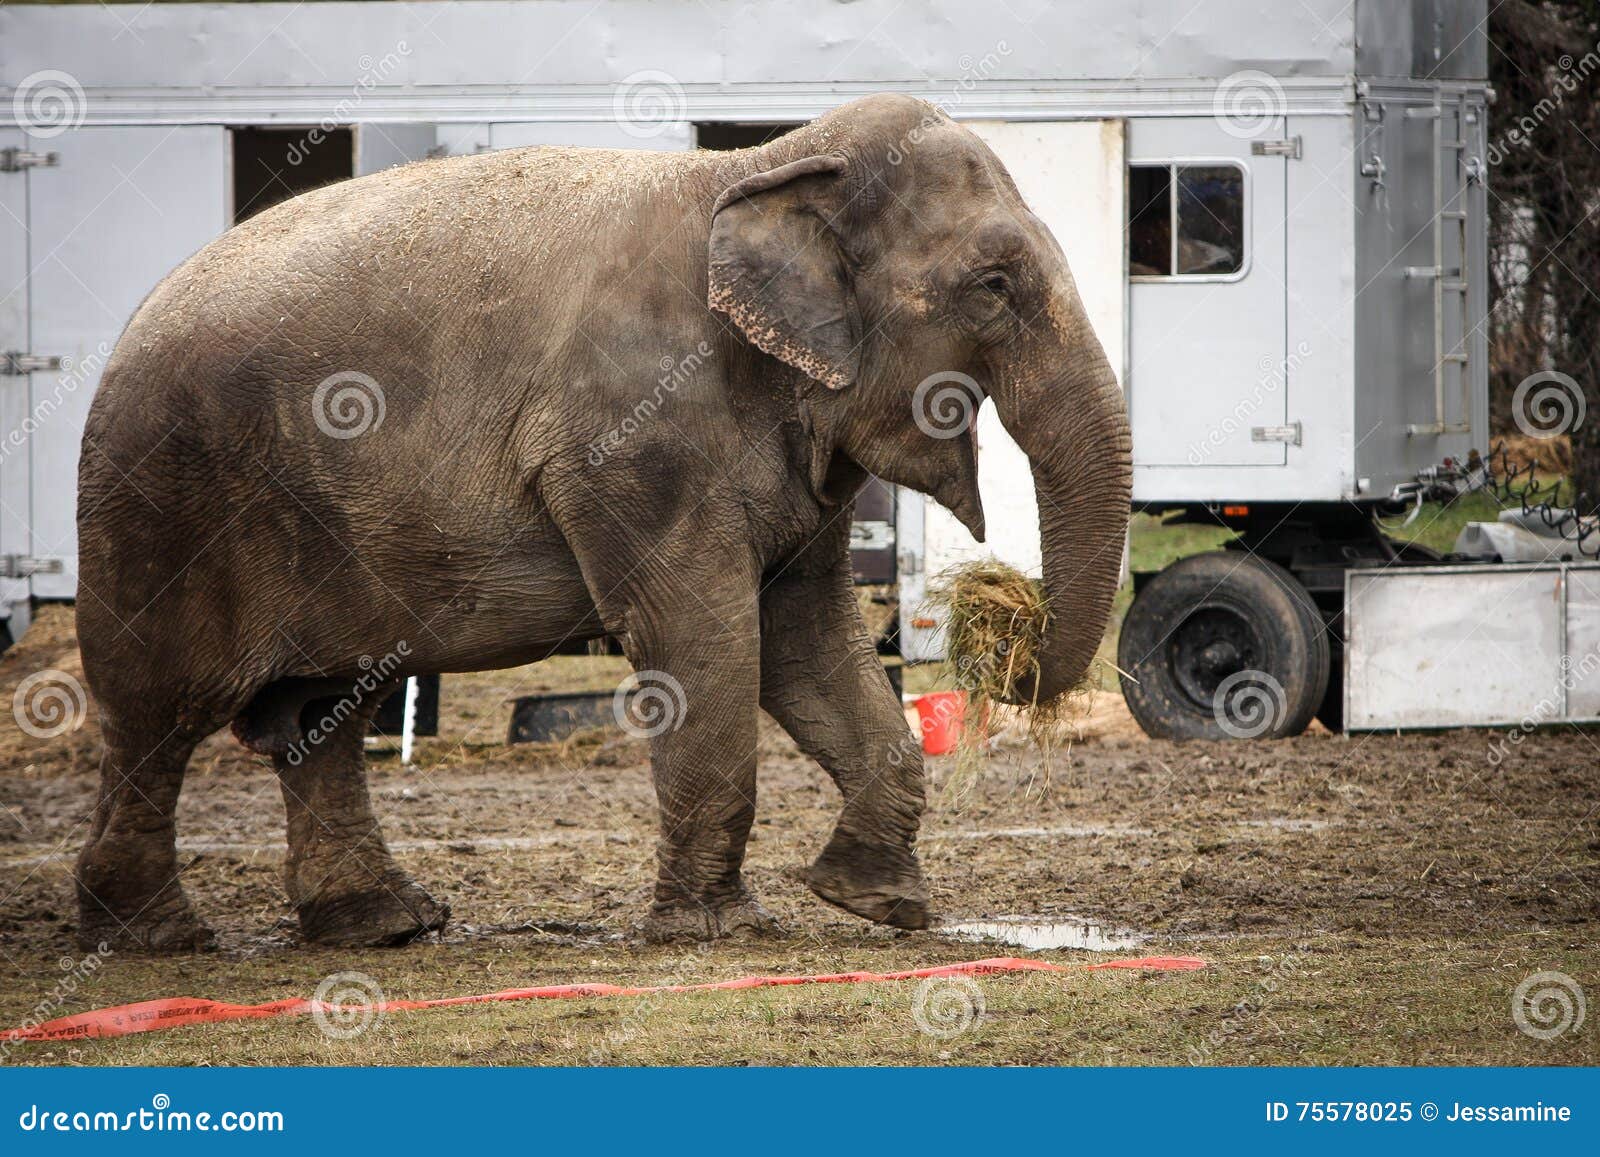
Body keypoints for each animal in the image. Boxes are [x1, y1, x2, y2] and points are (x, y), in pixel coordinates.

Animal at [72, 94, 1132, 951]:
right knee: (155, 715)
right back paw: (159, 937)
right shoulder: (630, 439)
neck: (762, 164)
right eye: (993, 286)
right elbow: (705, 640)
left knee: (323, 715)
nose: (1010, 634)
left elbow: (808, 641)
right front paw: (717, 928)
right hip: (159, 506)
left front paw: (875, 901)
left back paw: (384, 926)